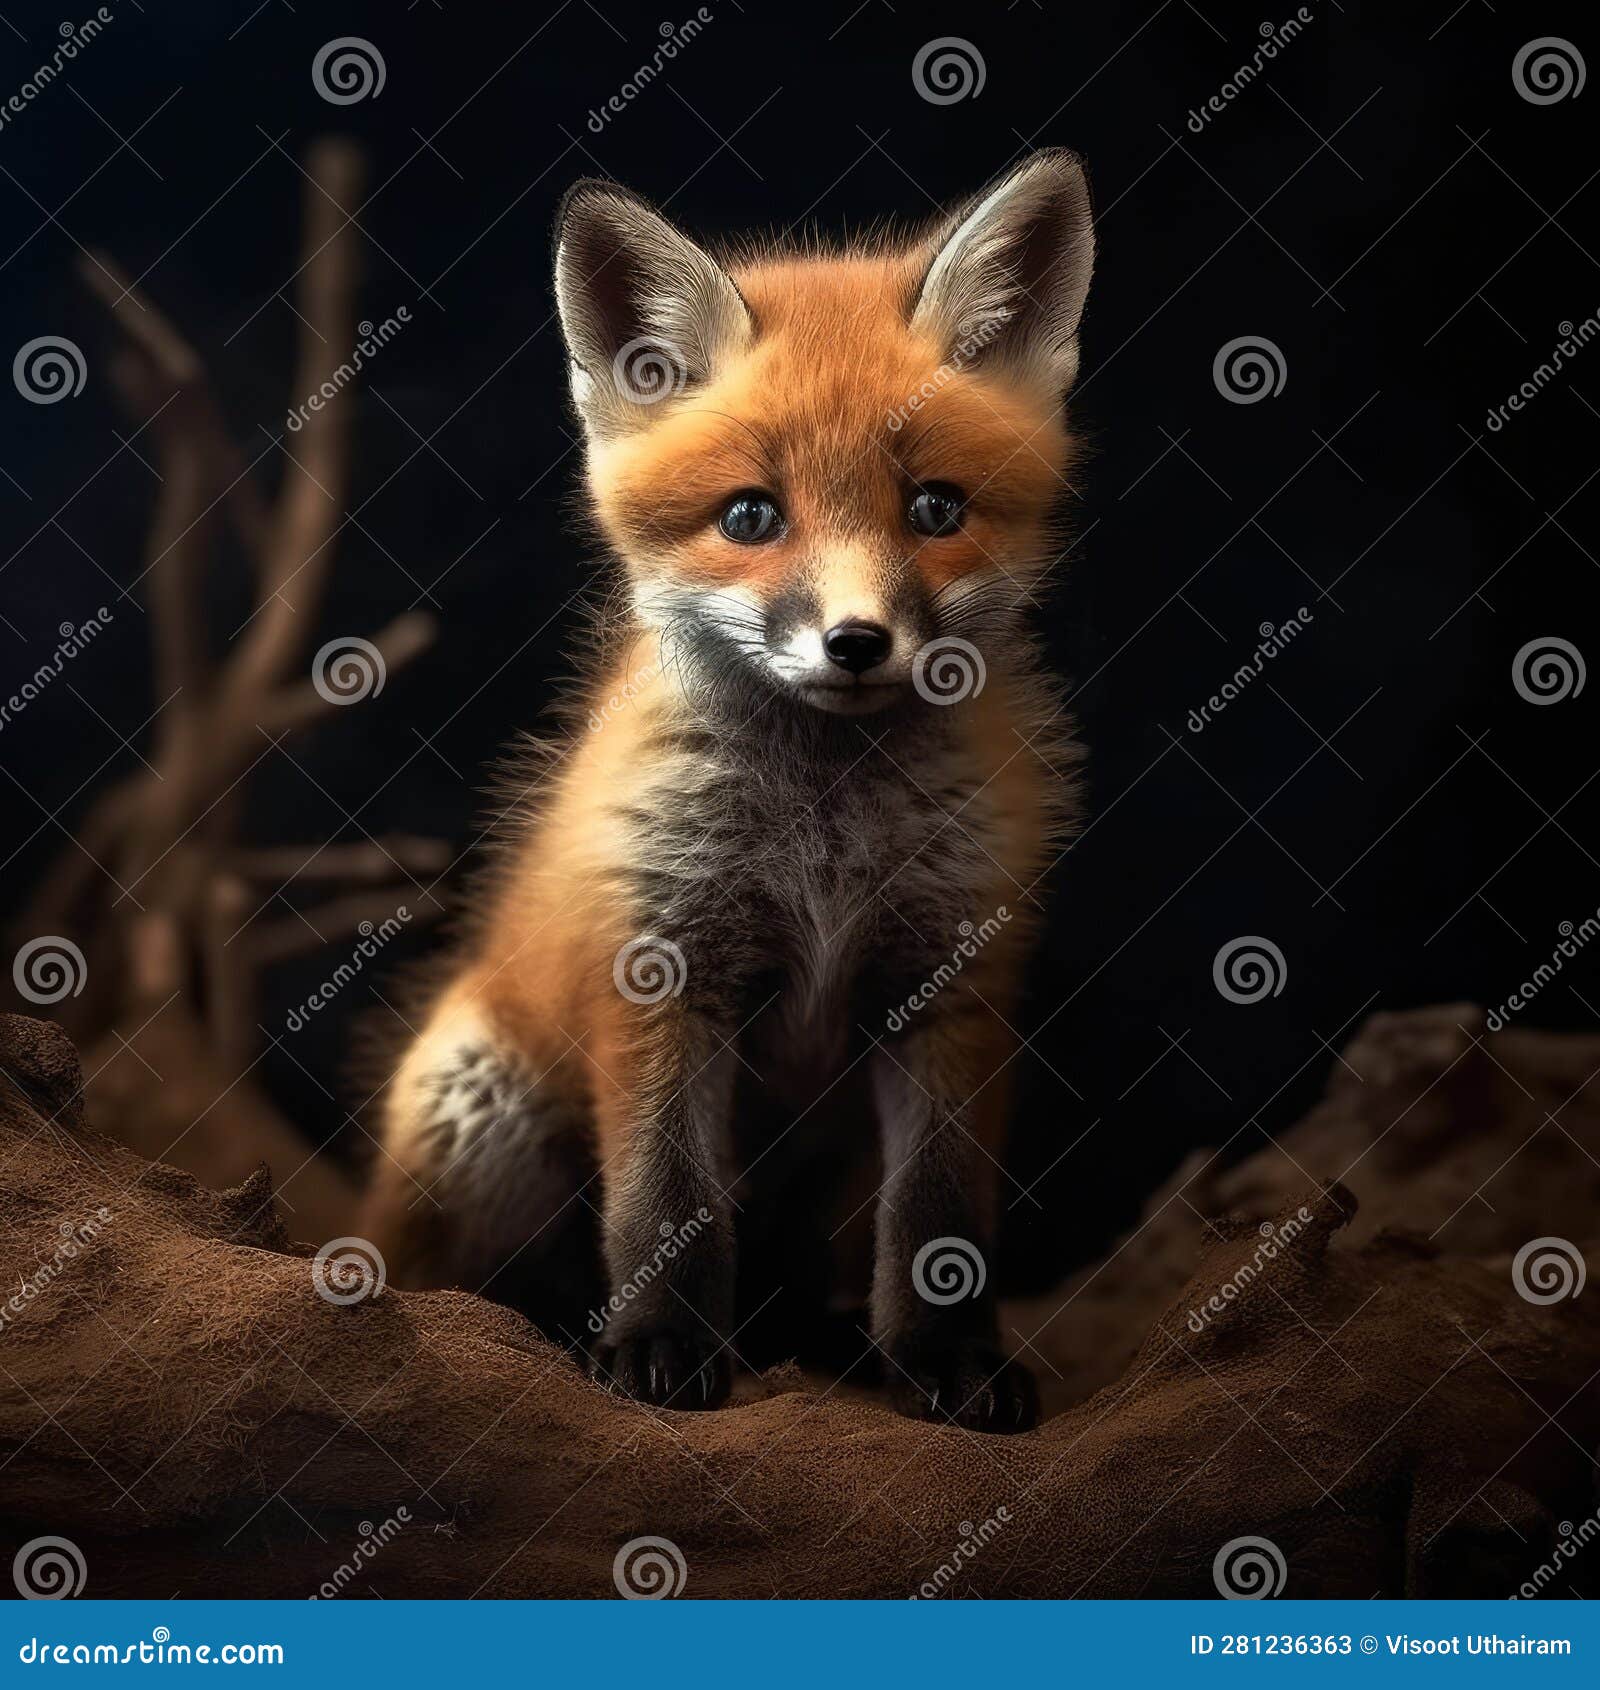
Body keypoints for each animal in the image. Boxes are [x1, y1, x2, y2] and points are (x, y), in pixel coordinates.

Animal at [364, 150, 1095, 1434]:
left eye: (936, 510)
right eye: (751, 515)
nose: (856, 642)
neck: (826, 839)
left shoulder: (951, 983)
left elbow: (939, 1218)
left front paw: (948, 1361)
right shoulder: (661, 974)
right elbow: (667, 1202)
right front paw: (660, 1348)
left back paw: (828, 1337)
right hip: (480, 1118)